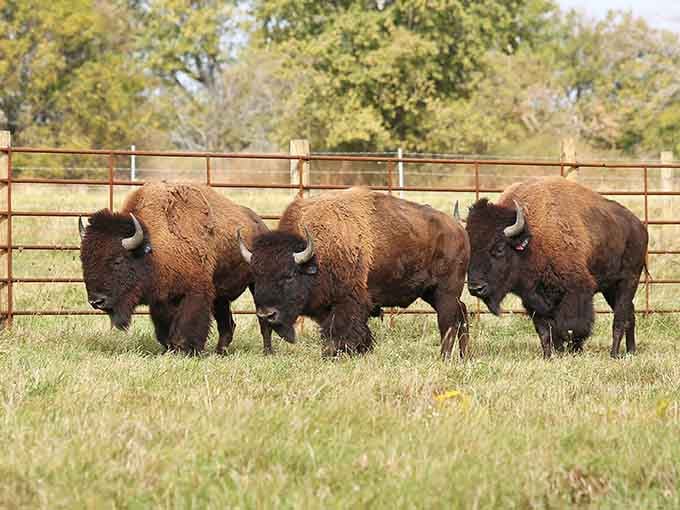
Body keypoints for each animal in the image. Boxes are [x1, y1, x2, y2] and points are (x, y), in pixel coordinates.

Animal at [79, 182, 271, 354]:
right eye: (84, 260)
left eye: (118, 261)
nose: (96, 301)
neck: (154, 248)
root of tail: (259, 224)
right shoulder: (161, 300)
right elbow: (163, 331)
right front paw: (170, 349)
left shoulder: (195, 293)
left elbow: (186, 327)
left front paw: (186, 350)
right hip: (220, 297)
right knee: (227, 324)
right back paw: (219, 352)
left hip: (255, 285)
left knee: (262, 321)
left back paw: (266, 351)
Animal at [238, 187, 470, 359]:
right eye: (257, 276)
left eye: (288, 275)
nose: (266, 315)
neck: (316, 256)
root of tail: (458, 228)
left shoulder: (348, 303)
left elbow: (341, 332)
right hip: (430, 292)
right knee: (462, 313)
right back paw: (464, 356)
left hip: (445, 291)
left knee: (448, 322)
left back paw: (444, 357)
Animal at [465, 176, 648, 358]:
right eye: (469, 248)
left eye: (499, 248)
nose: (475, 288)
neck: (532, 241)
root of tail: (639, 227)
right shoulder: (534, 301)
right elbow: (545, 332)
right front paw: (549, 356)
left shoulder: (576, 292)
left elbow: (571, 328)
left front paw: (572, 351)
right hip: (610, 288)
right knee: (630, 314)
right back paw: (631, 351)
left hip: (628, 281)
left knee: (620, 317)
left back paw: (614, 354)